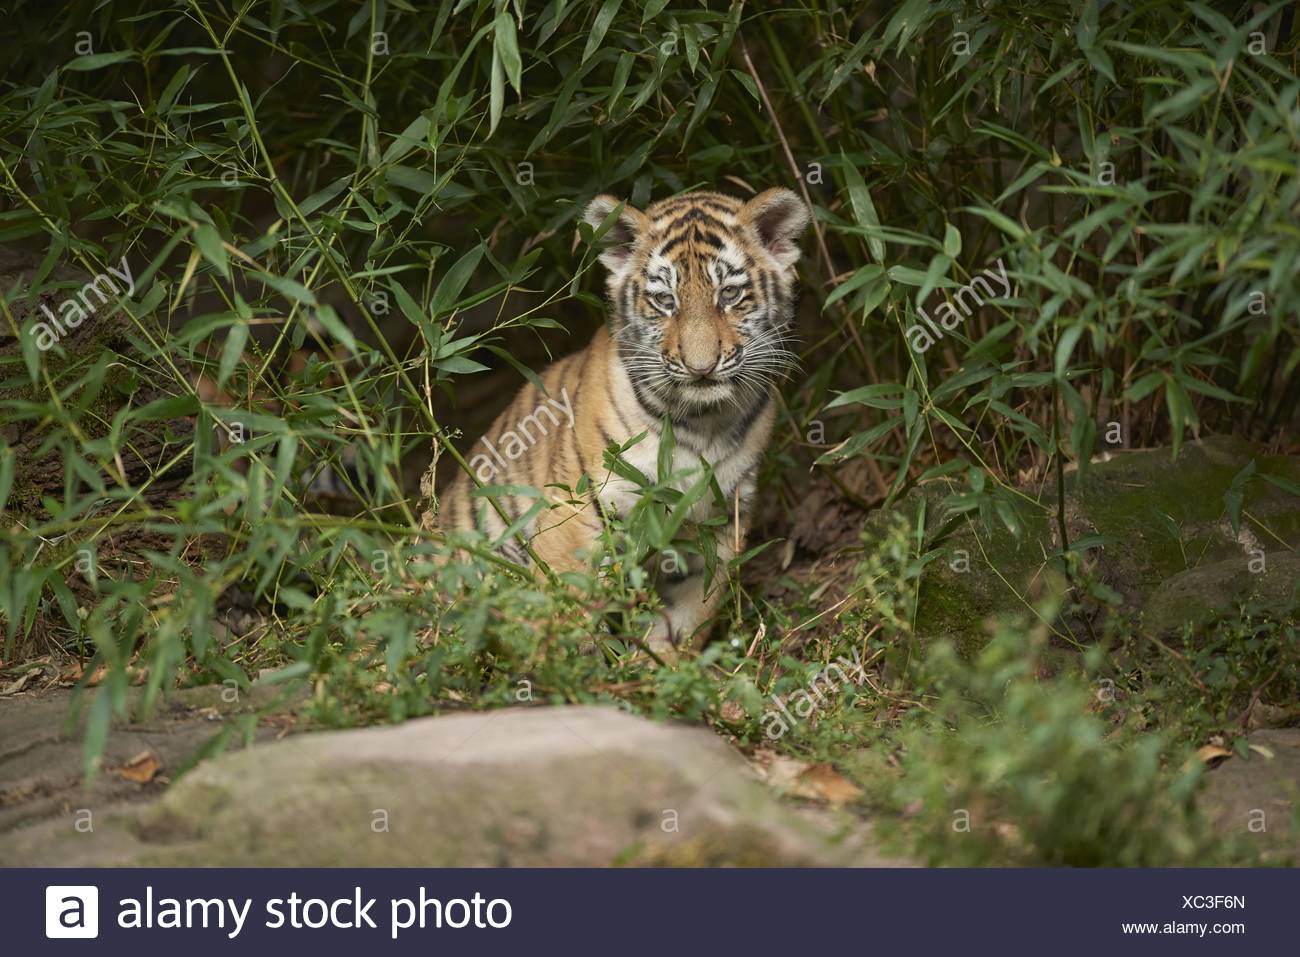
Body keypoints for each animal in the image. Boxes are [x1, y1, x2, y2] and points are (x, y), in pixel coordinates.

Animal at [431, 187, 810, 653]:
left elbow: (685, 620)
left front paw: (659, 666)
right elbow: (566, 612)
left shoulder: (718, 523)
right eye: (665, 301)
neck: (703, 421)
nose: (700, 368)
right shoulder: (577, 514)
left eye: (729, 295)